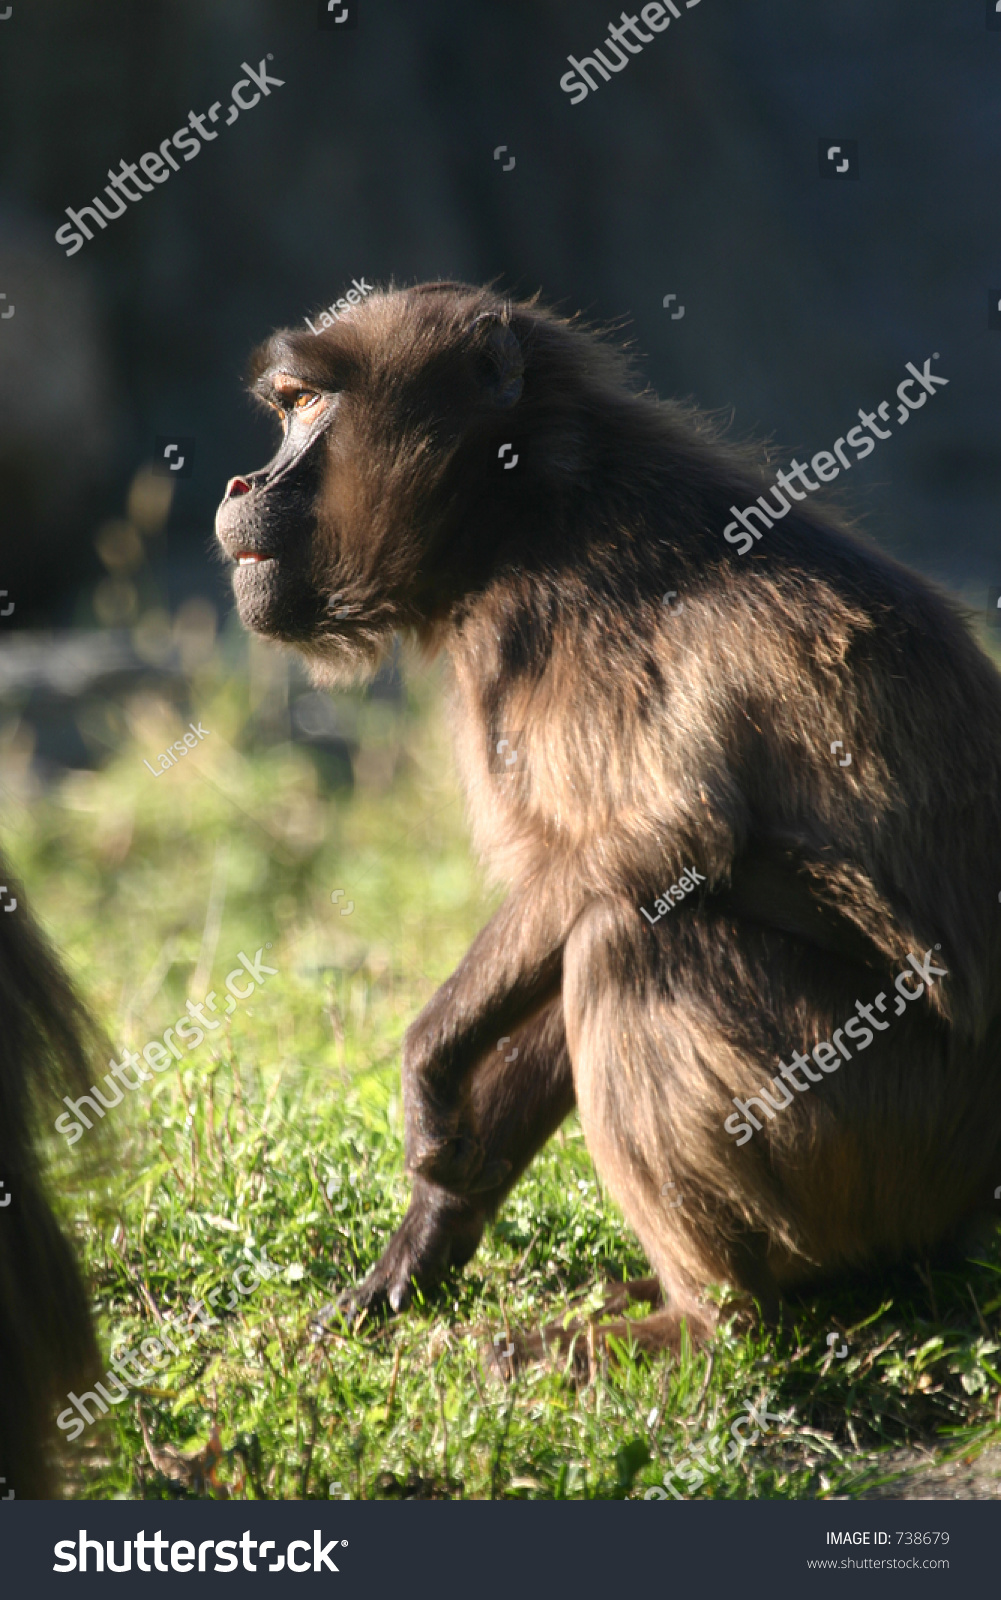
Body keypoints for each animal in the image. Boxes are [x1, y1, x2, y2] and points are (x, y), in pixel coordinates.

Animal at [215, 280, 1001, 1360]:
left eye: (306, 405)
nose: (242, 481)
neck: (528, 509)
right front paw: (421, 1242)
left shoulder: (562, 622)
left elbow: (660, 843)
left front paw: (424, 1065)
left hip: (893, 1126)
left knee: (631, 938)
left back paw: (705, 1323)